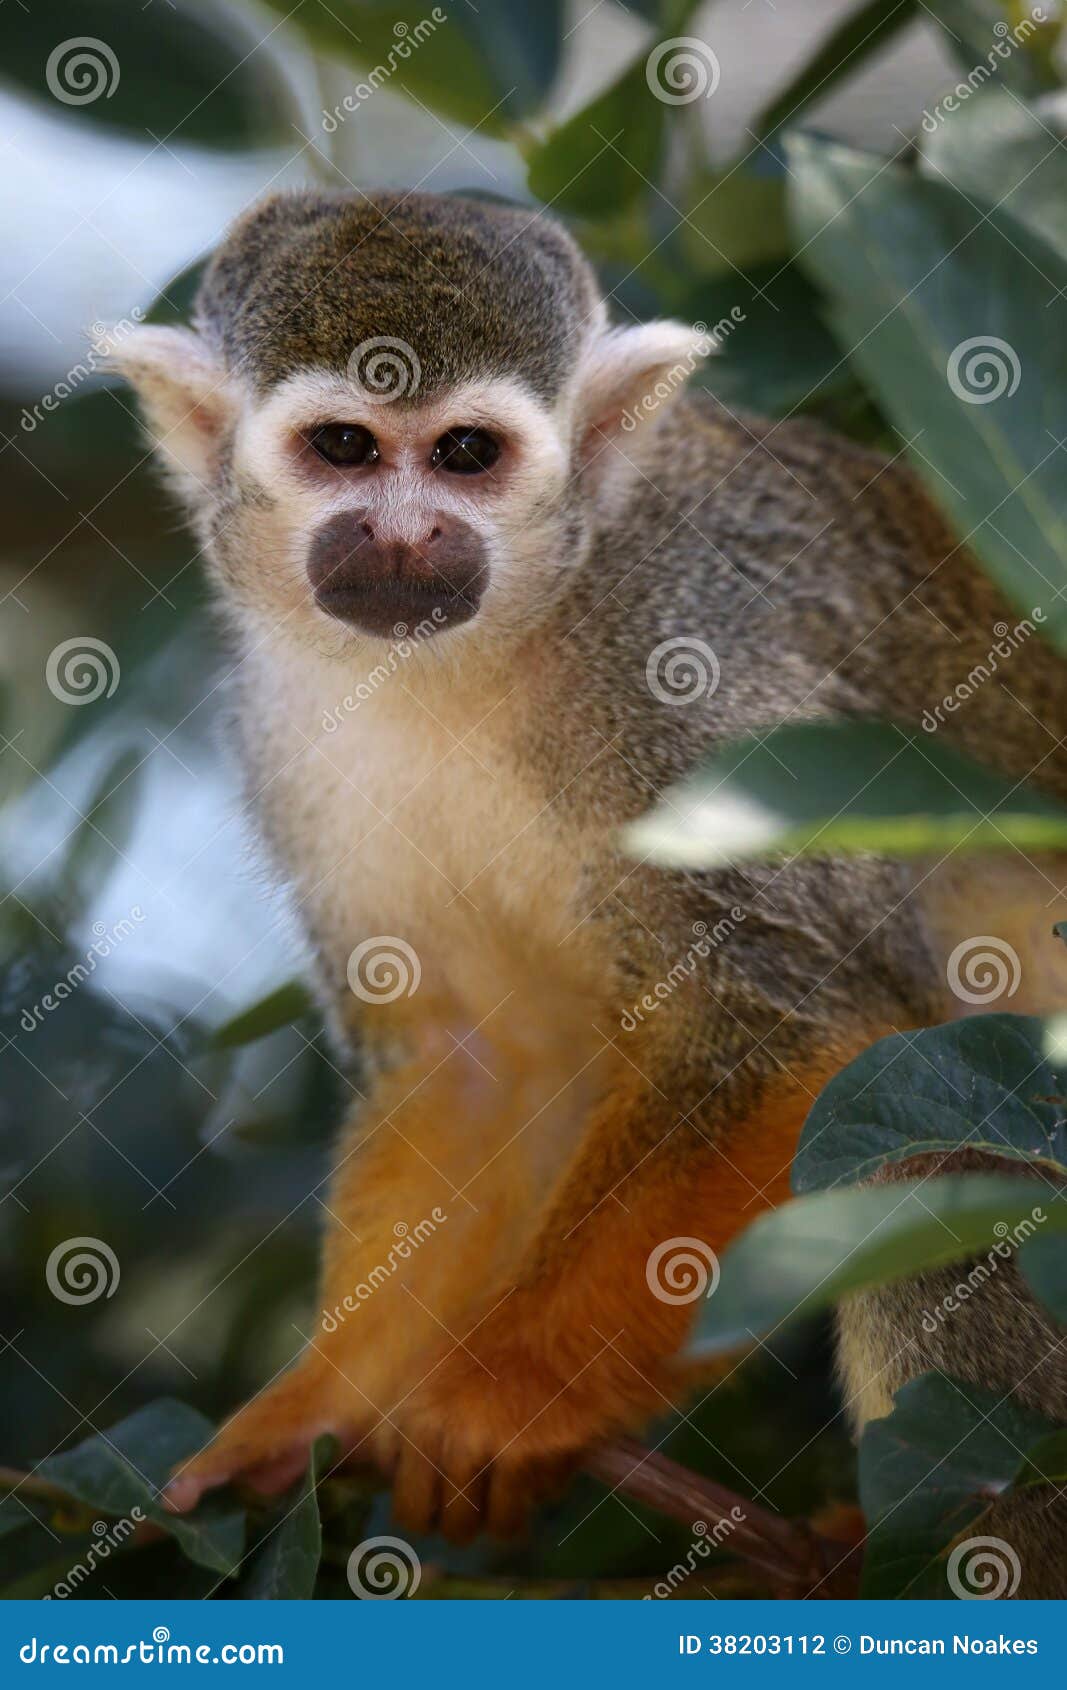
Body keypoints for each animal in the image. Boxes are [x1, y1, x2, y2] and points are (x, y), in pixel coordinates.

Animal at [112, 189, 1067, 1587]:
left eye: (466, 454)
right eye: (344, 446)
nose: (405, 537)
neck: (484, 644)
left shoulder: (687, 672)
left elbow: (797, 1018)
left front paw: (491, 1400)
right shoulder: (286, 730)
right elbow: (474, 1064)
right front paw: (308, 1413)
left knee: (927, 1142)